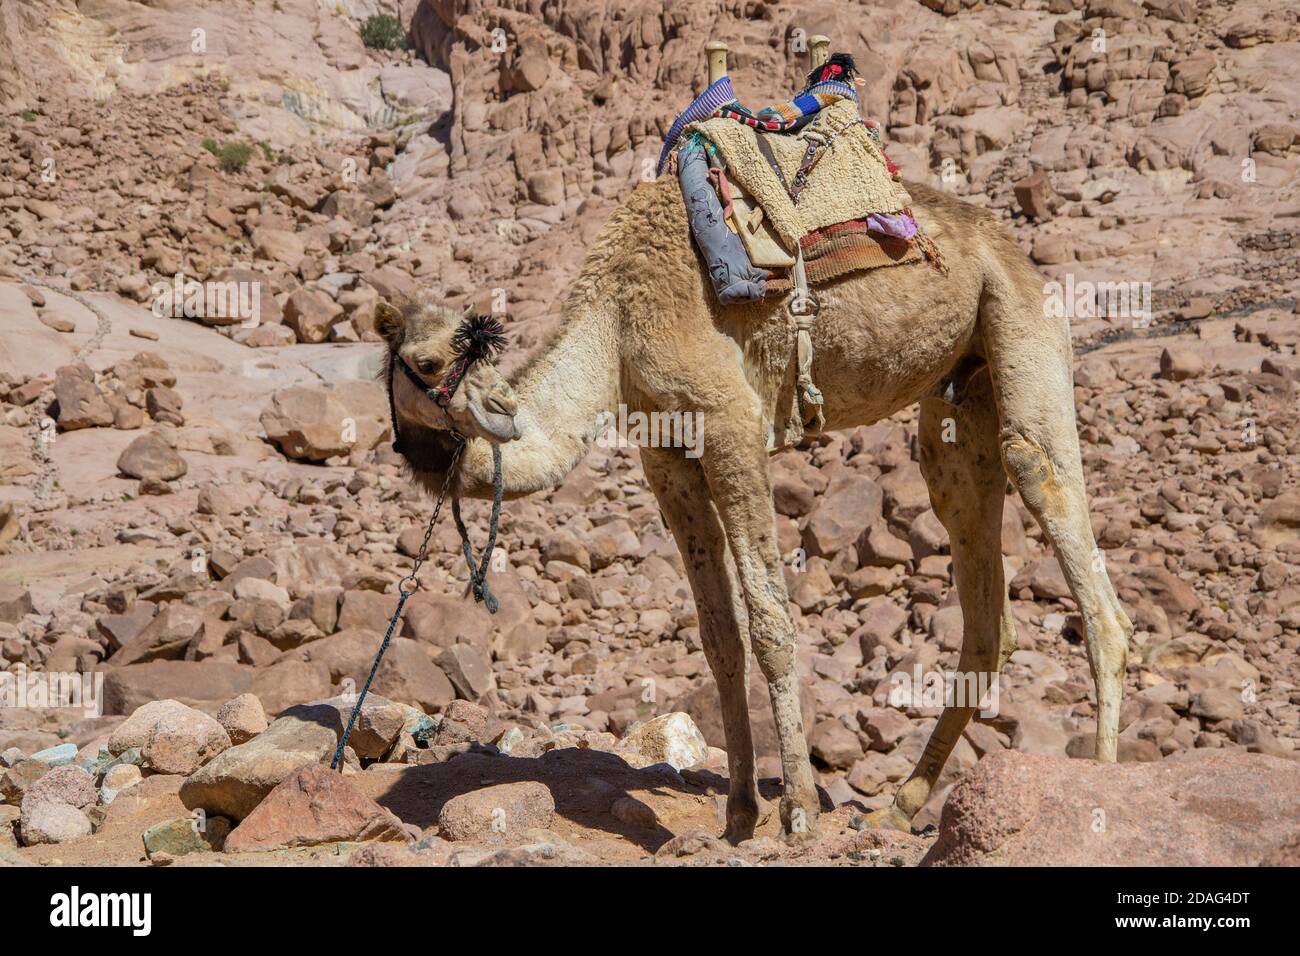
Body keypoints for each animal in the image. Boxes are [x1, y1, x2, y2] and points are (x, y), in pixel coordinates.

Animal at [376, 170, 1134, 843]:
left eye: (464, 354)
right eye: (429, 360)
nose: (501, 408)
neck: (615, 324)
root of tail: (1008, 244)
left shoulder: (731, 425)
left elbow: (770, 622)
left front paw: (797, 813)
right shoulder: (666, 455)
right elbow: (719, 638)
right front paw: (739, 814)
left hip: (1022, 323)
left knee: (1068, 533)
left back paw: (1099, 784)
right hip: (956, 401)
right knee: (984, 607)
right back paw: (895, 808)